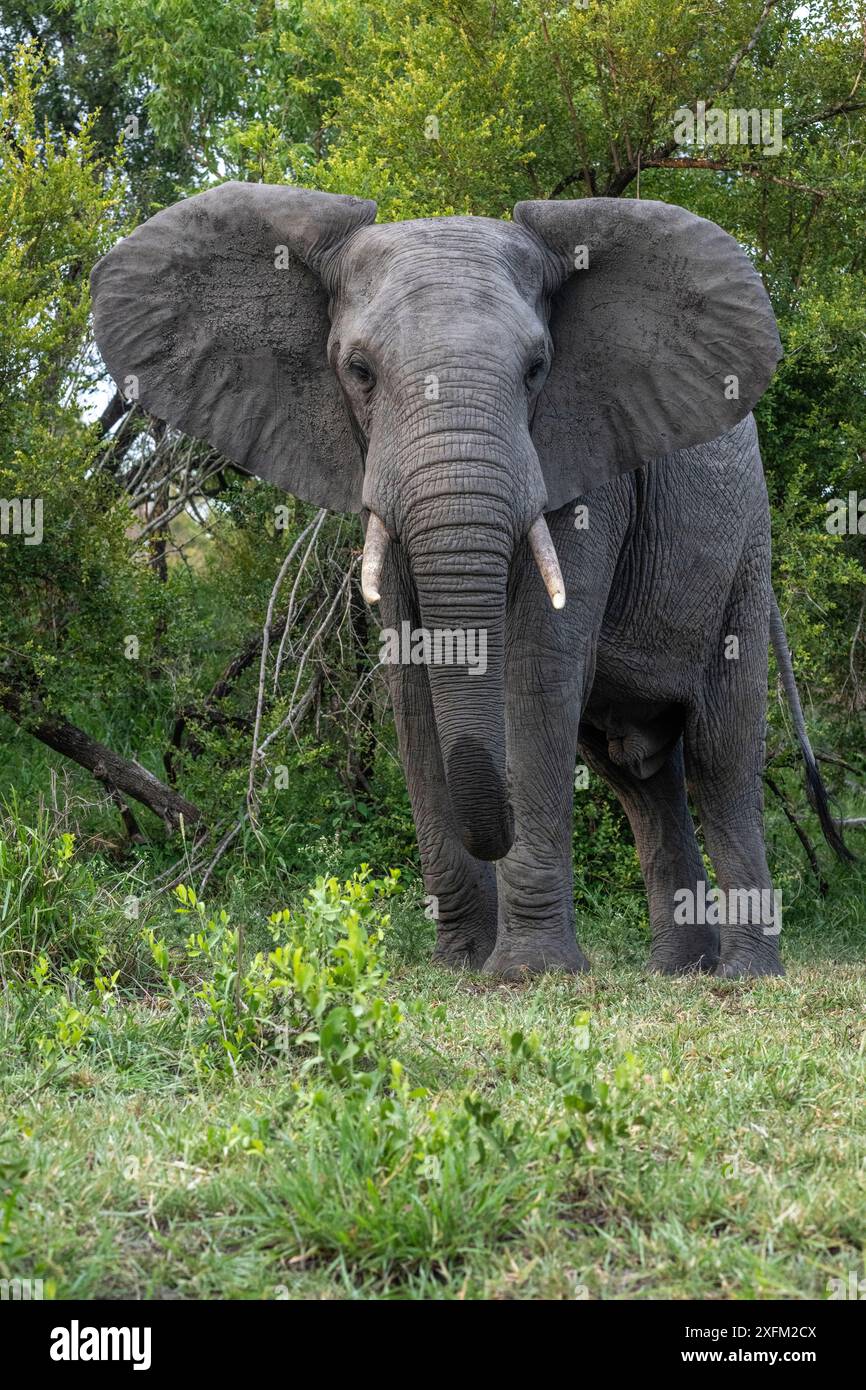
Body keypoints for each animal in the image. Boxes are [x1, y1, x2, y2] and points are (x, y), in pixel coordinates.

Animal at [90, 183, 850, 980]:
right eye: (358, 371)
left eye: (537, 369)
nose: (497, 832)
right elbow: (411, 686)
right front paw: (460, 963)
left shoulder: (585, 462)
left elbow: (537, 671)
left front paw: (529, 972)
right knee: (639, 778)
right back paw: (677, 972)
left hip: (745, 555)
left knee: (720, 756)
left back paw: (743, 976)